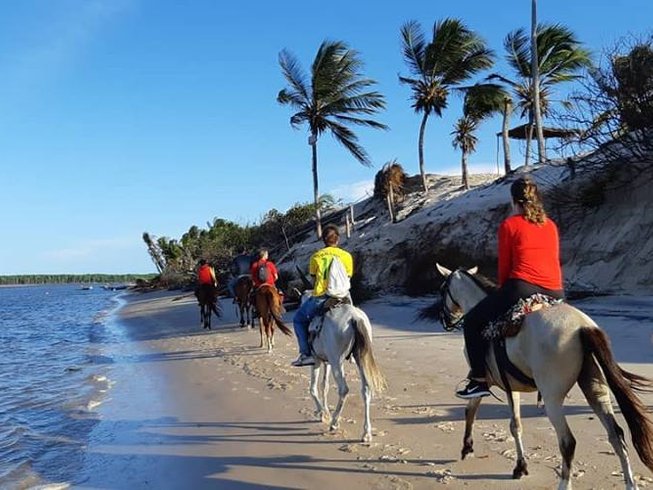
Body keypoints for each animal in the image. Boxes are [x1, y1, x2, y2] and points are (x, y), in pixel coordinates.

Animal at [301, 293, 387, 443]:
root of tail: (354, 318)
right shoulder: (327, 362)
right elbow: (324, 386)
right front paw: (324, 411)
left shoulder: (317, 361)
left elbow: (313, 388)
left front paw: (322, 413)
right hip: (359, 359)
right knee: (366, 389)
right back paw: (366, 433)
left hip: (337, 362)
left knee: (343, 389)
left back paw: (334, 422)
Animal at [434, 263, 653, 490]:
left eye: (442, 289)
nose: (444, 319)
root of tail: (582, 326)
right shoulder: (511, 386)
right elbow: (515, 425)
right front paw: (520, 466)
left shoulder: (485, 380)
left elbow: (472, 411)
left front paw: (467, 448)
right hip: (595, 387)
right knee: (616, 434)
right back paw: (630, 482)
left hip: (552, 397)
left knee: (568, 442)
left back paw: (564, 484)